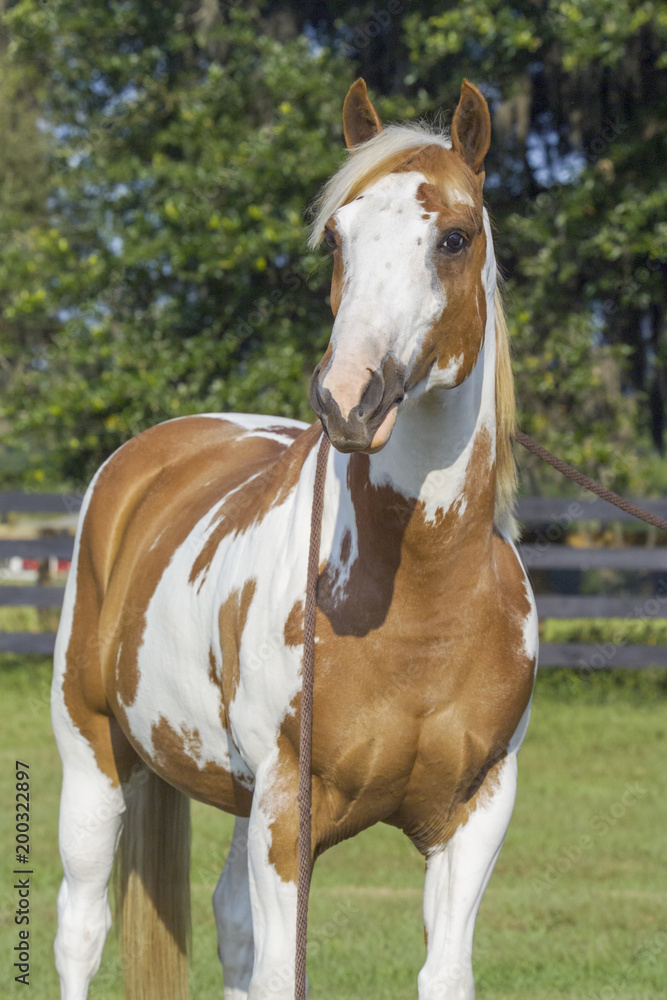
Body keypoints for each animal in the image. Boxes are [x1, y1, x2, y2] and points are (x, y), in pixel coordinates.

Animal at [52, 78, 538, 1000]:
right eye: (338, 238)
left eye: (453, 238)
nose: (349, 397)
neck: (419, 598)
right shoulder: (289, 816)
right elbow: (282, 970)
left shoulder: (477, 814)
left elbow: (441, 972)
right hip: (93, 758)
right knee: (81, 930)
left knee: (229, 927)